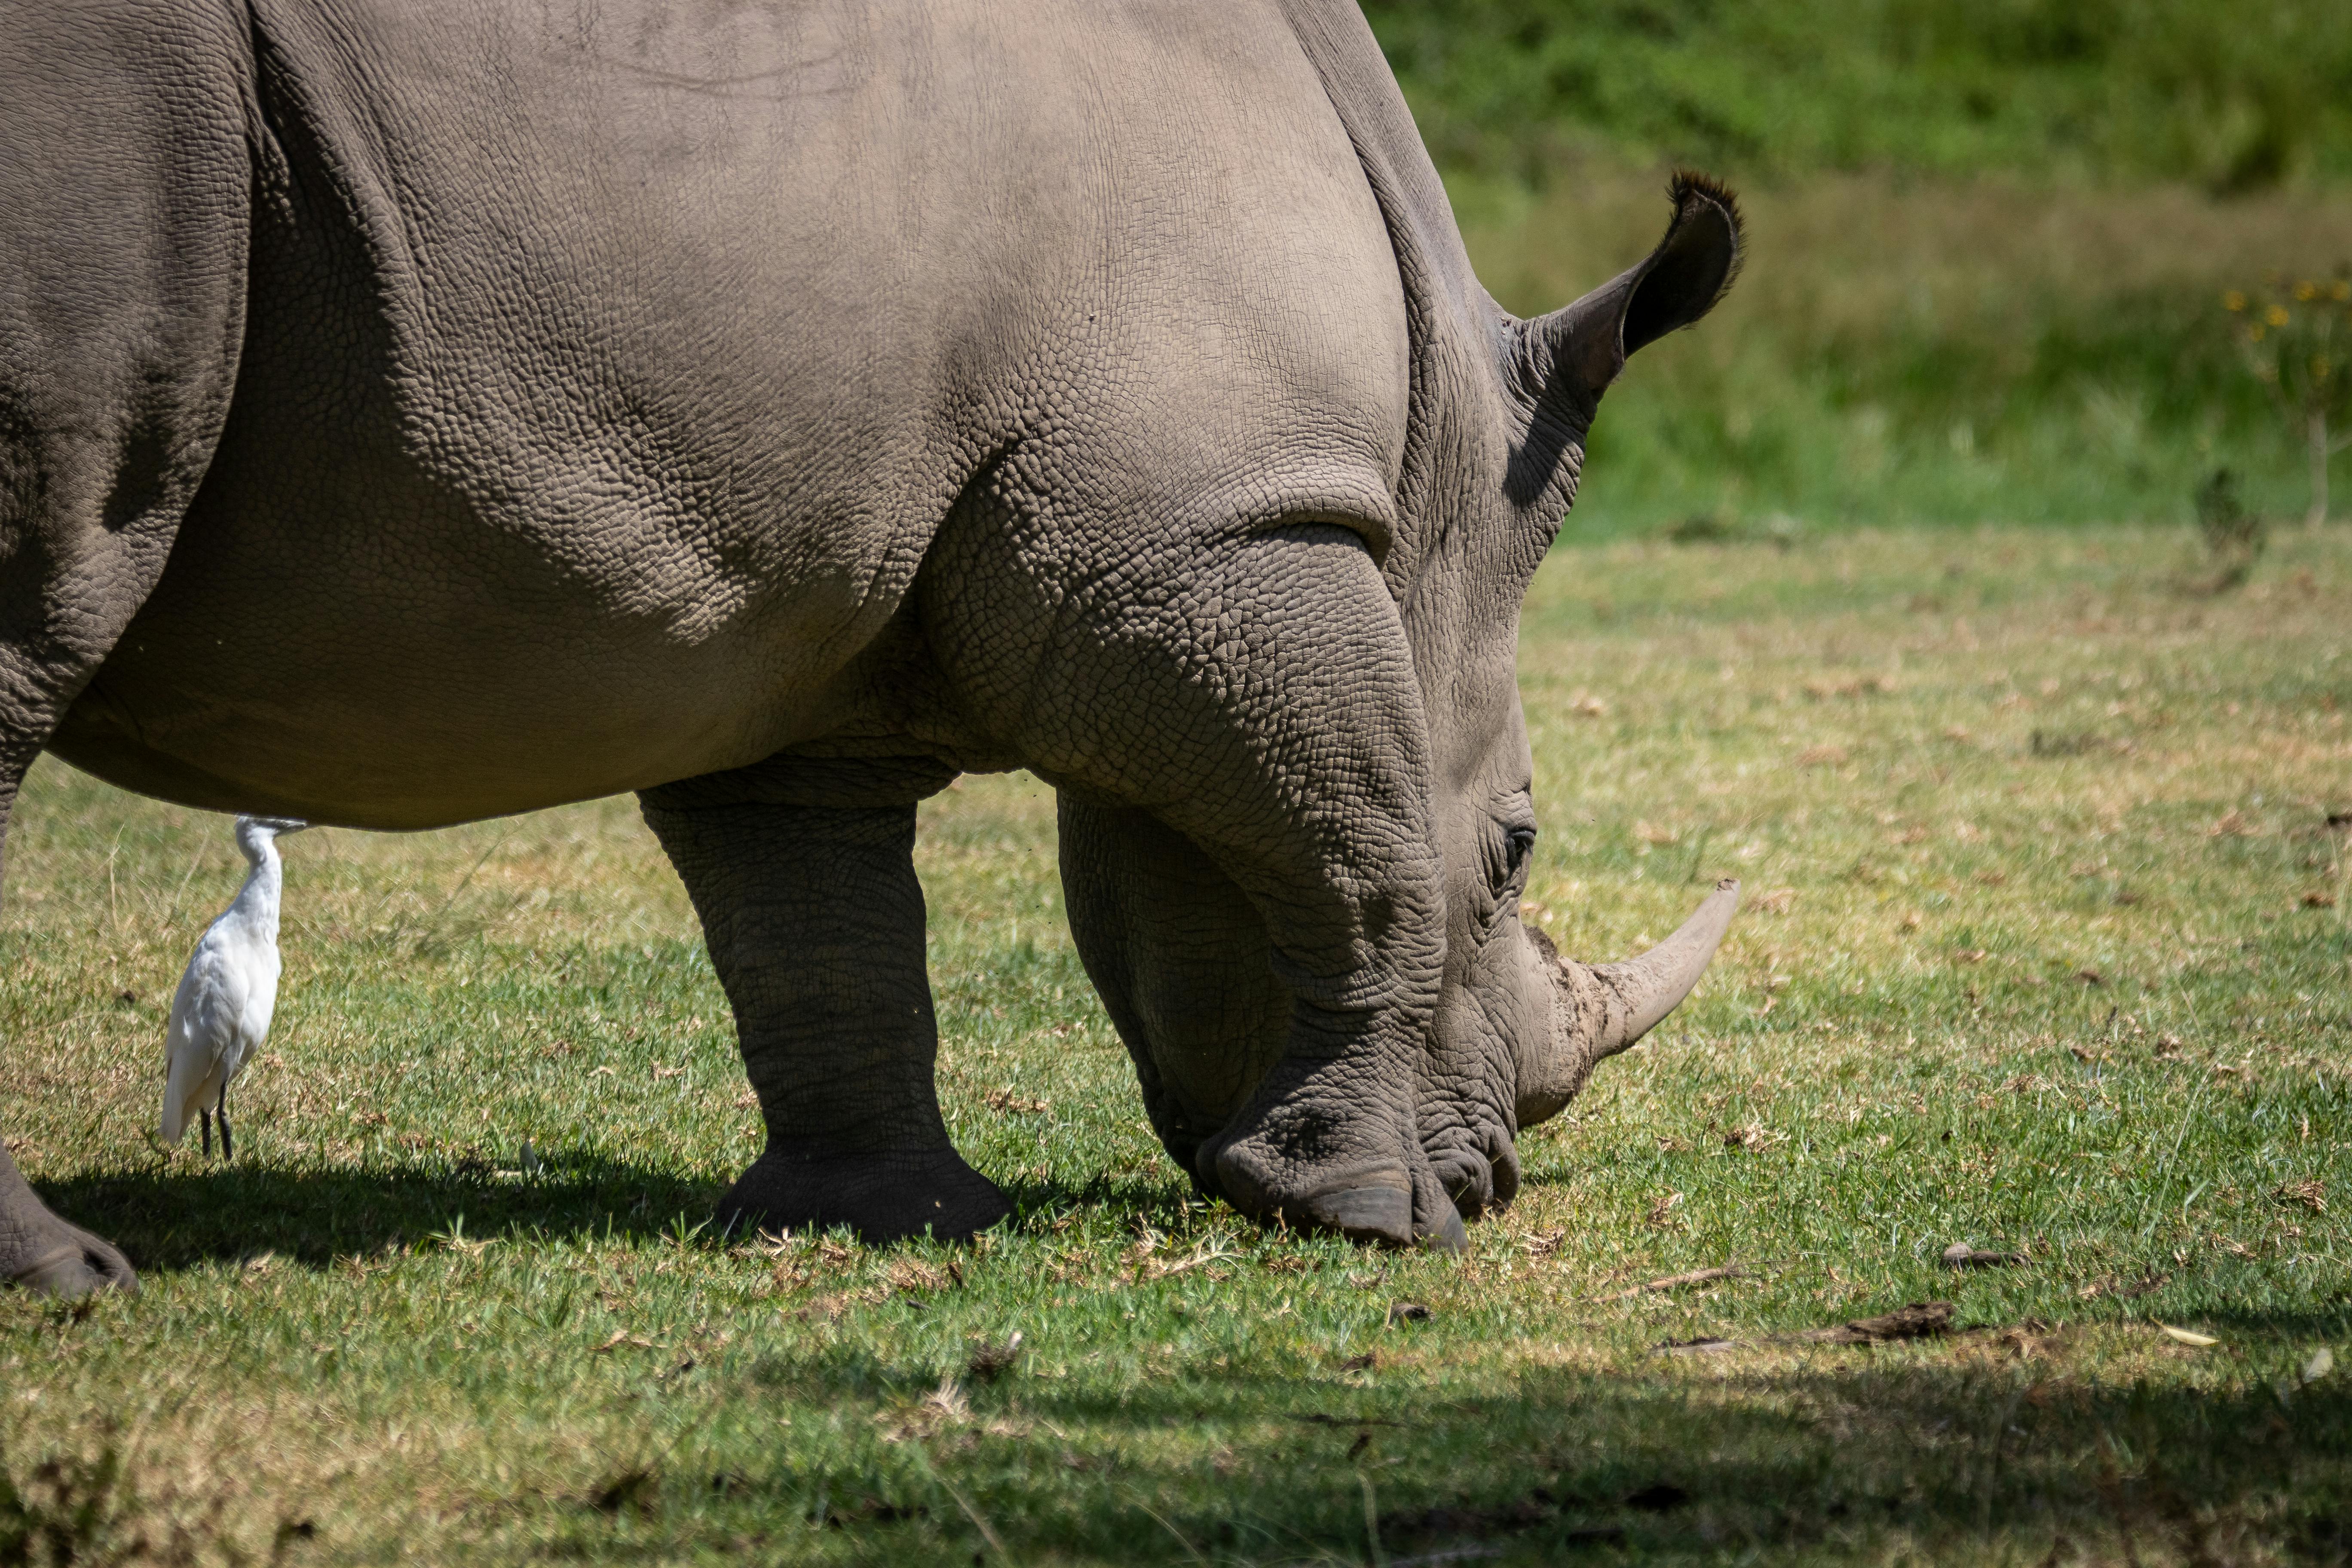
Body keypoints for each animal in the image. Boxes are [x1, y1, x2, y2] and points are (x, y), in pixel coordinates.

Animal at [0, 0, 1742, 1296]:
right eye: (1515, 851)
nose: (1493, 1177)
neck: (1428, 457)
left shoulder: (798, 561)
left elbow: (814, 913)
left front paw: (883, 1222)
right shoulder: (1218, 525)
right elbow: (1361, 836)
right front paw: (1377, 1220)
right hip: (129, 117)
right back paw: (77, 1281)